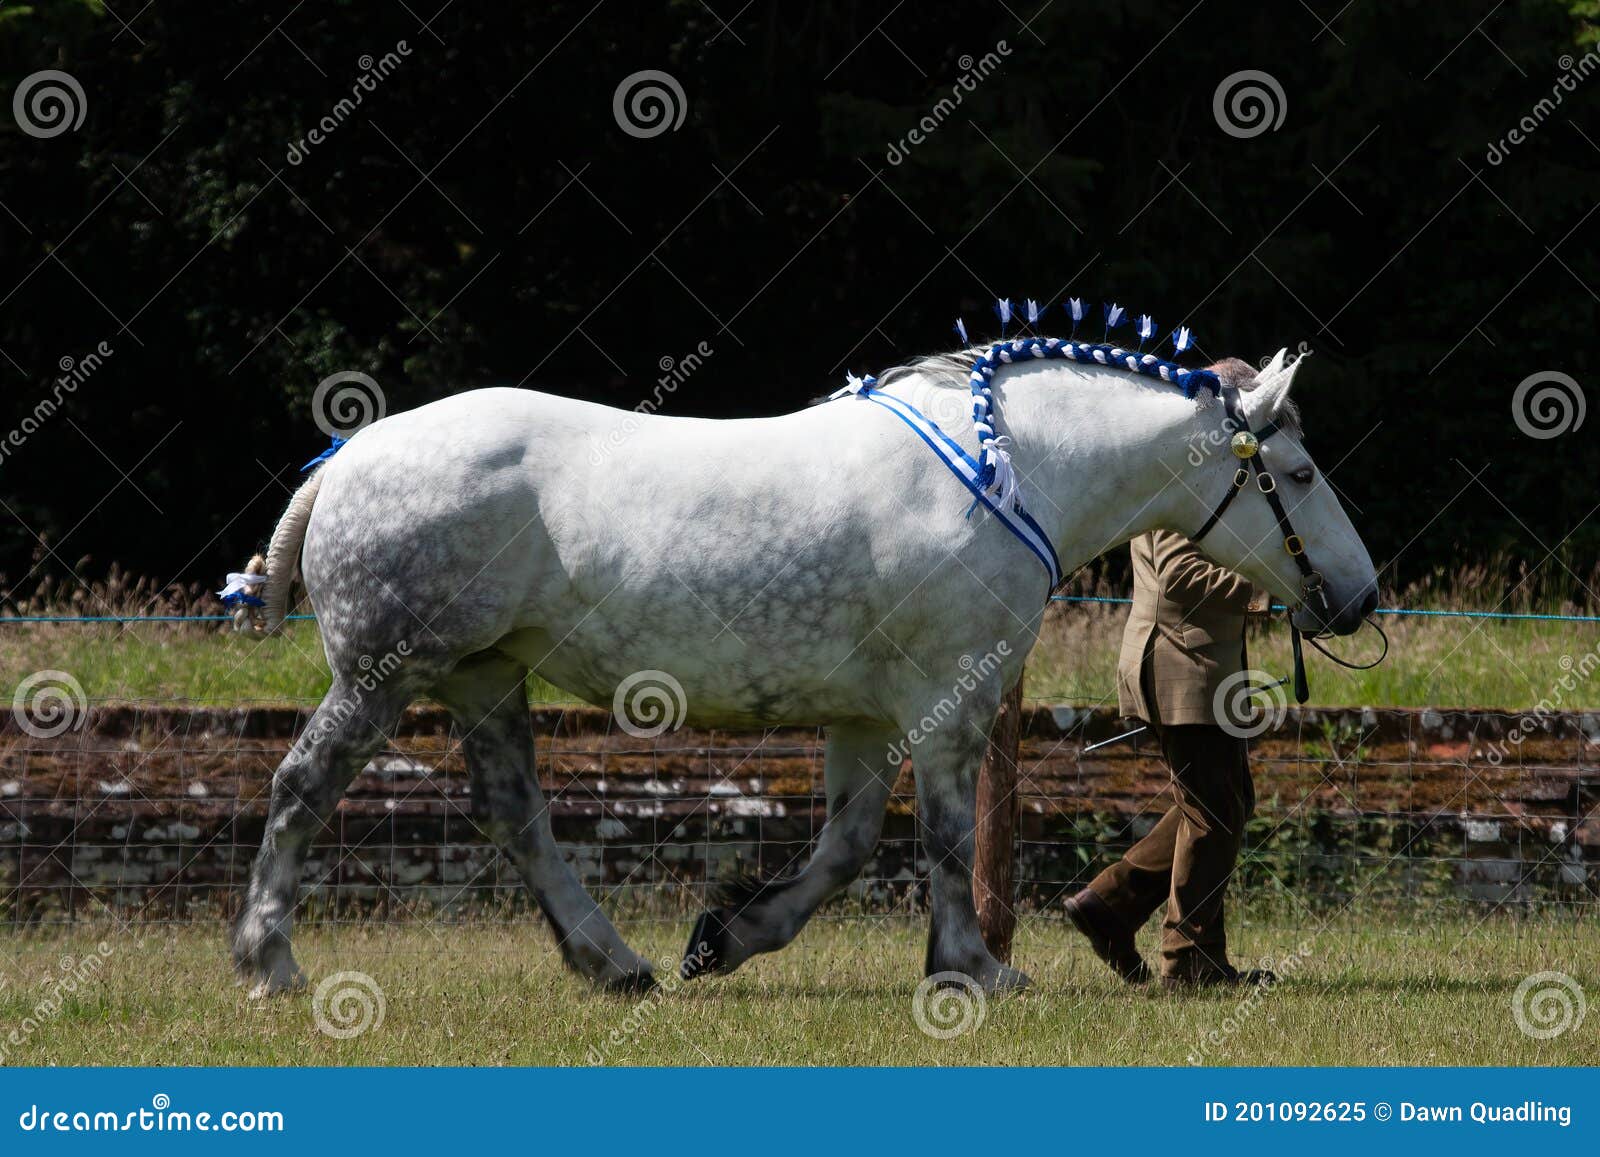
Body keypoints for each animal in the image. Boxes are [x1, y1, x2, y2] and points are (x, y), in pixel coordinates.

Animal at [232, 337, 1378, 998]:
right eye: (1296, 470)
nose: (1359, 596)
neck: (1006, 473)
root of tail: (349, 457)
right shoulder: (950, 698)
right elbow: (947, 836)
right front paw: (974, 969)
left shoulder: (862, 718)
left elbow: (846, 845)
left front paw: (727, 935)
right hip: (383, 675)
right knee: (300, 788)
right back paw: (269, 961)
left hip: (483, 676)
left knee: (517, 816)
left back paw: (617, 964)